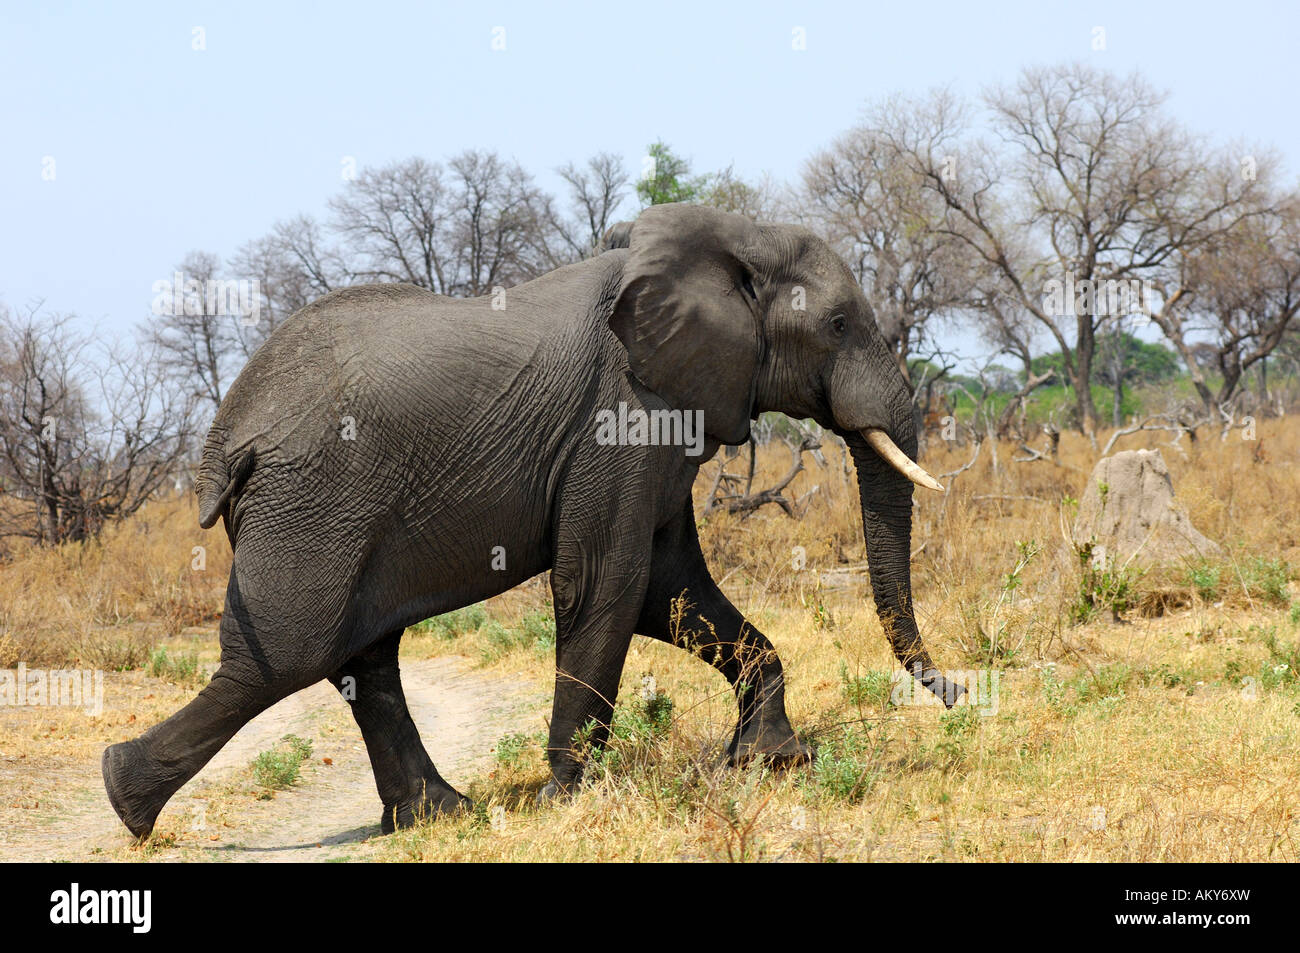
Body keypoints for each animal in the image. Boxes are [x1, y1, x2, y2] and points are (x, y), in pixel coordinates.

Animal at [102, 202, 960, 838]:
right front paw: (568, 799)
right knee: (283, 655)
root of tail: (227, 432)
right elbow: (606, 583)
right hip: (310, 503)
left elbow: (670, 589)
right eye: (840, 324)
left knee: (362, 653)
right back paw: (125, 800)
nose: (955, 690)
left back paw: (438, 816)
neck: (727, 236)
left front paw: (775, 760)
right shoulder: (617, 418)